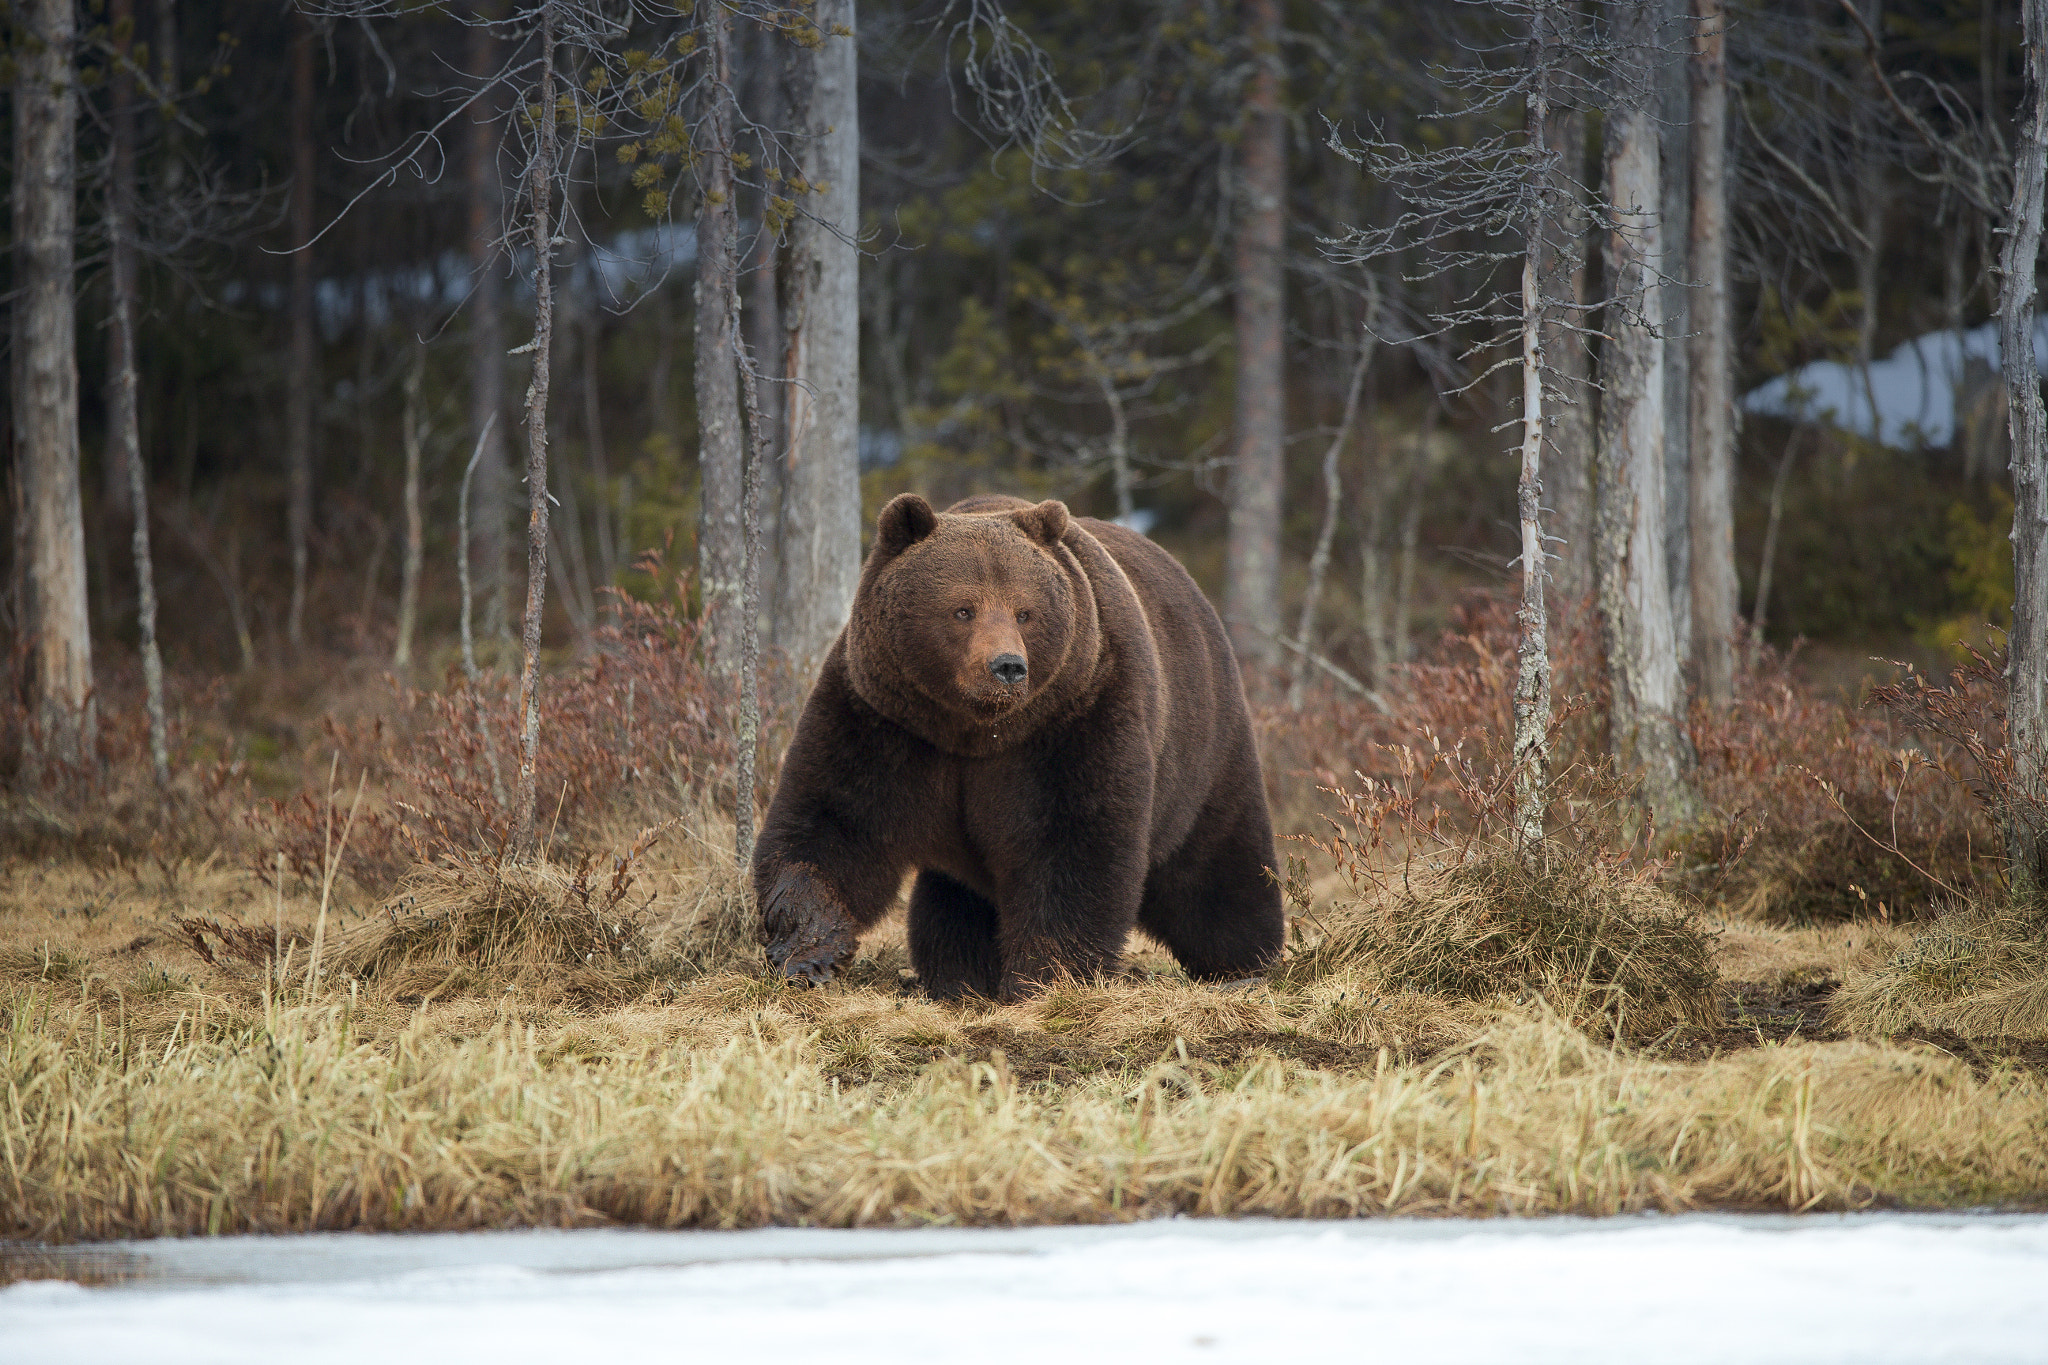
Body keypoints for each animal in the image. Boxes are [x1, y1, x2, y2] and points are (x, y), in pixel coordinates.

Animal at [751, 492, 1284, 1001]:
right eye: (962, 609)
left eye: (1025, 612)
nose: (1007, 666)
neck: (974, 731)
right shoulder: (885, 717)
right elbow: (835, 821)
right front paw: (808, 951)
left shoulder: (1073, 718)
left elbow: (1071, 845)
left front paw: (1045, 978)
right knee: (956, 899)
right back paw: (958, 974)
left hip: (1203, 749)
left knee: (1217, 865)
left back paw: (1243, 964)